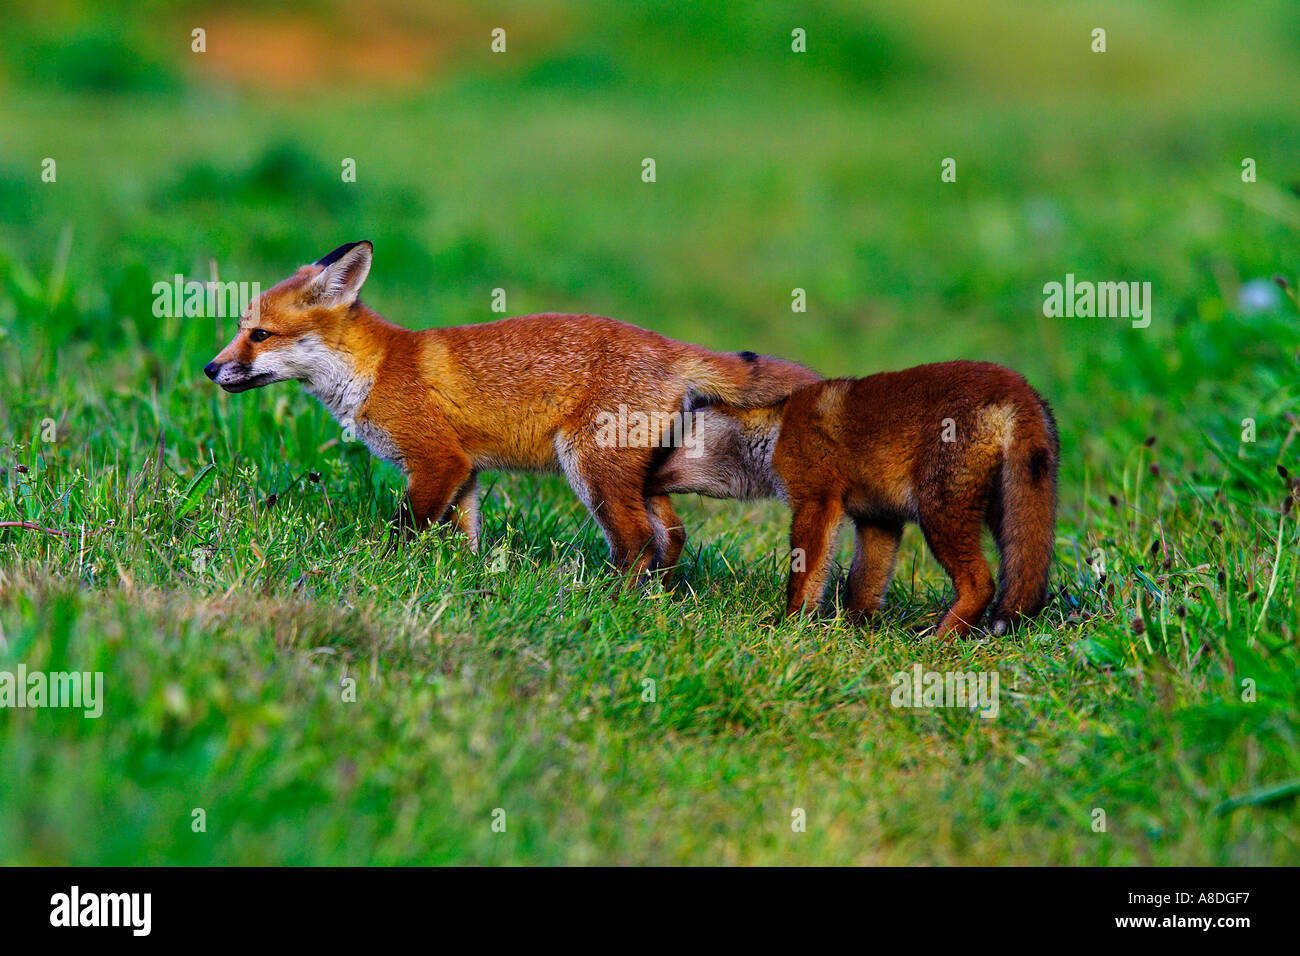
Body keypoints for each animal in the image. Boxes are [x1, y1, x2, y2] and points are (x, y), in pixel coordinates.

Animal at [203, 241, 821, 574]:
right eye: (239, 330)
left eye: (259, 335)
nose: (210, 369)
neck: (374, 369)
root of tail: (668, 344)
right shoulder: (465, 471)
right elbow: (465, 537)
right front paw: (464, 580)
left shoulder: (437, 460)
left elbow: (405, 530)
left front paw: (384, 569)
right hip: (636, 475)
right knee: (672, 536)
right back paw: (660, 601)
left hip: (590, 468)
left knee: (638, 542)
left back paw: (611, 602)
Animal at [650, 361, 1060, 637]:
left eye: (662, 447)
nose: (639, 482)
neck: (777, 432)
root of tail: (1018, 387)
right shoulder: (879, 519)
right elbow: (863, 585)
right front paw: (852, 632)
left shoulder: (817, 502)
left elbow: (804, 579)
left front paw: (789, 628)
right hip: (1012, 516)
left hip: (939, 513)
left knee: (982, 584)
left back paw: (939, 640)